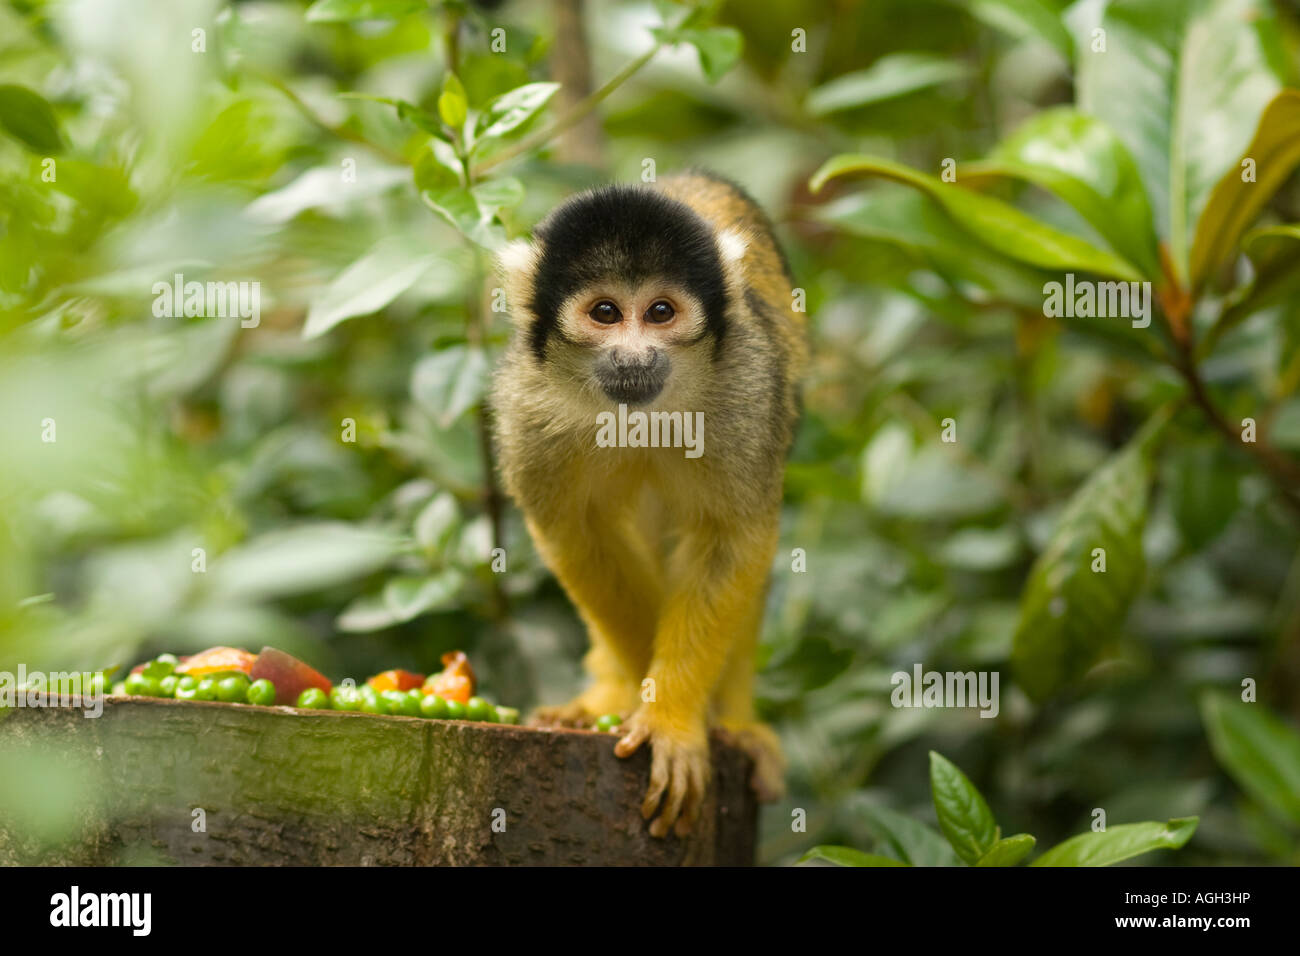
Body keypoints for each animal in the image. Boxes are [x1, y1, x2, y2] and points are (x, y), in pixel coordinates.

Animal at [490, 169, 807, 837]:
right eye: (605, 313)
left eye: (661, 312)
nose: (634, 356)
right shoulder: (526, 403)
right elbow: (576, 534)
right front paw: (643, 701)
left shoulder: (747, 386)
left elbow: (734, 536)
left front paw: (673, 717)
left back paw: (735, 722)